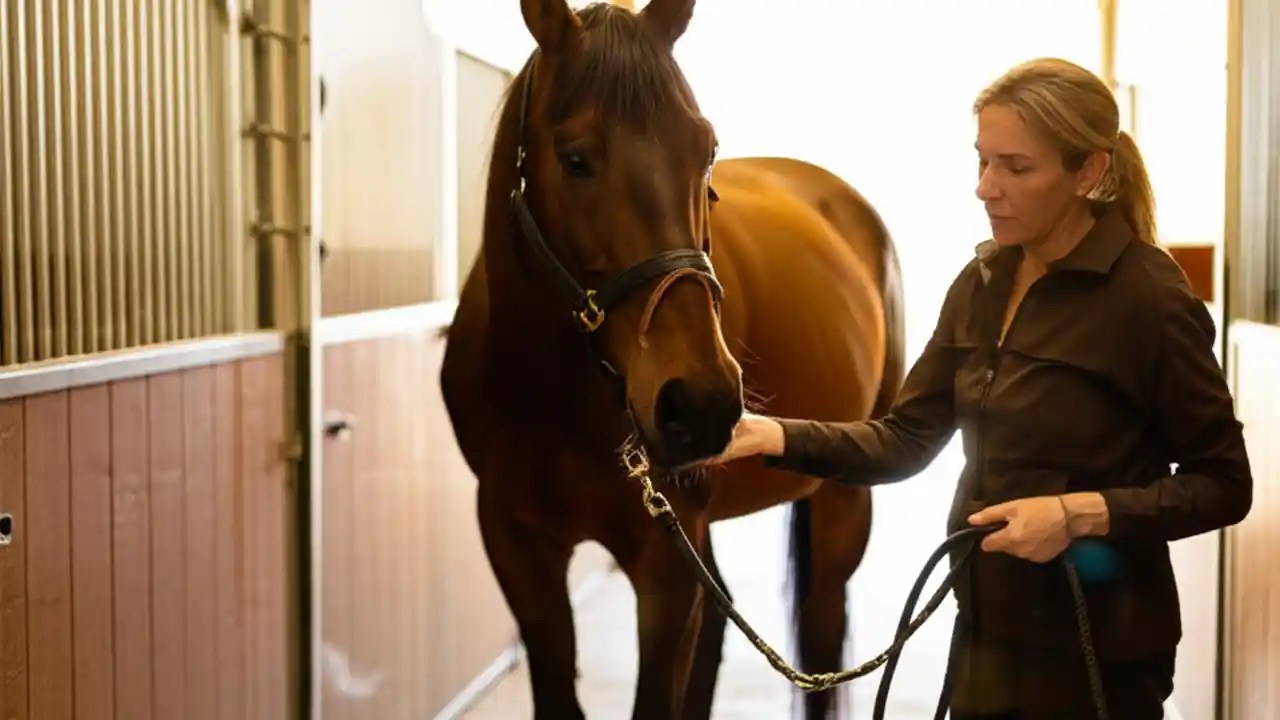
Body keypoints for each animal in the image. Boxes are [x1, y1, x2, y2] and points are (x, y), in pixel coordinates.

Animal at [439, 1, 906, 717]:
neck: (554, 395)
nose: (701, 403)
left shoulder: (664, 568)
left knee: (822, 634)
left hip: (842, 503)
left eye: (706, 149)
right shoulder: (517, 549)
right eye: (575, 158)